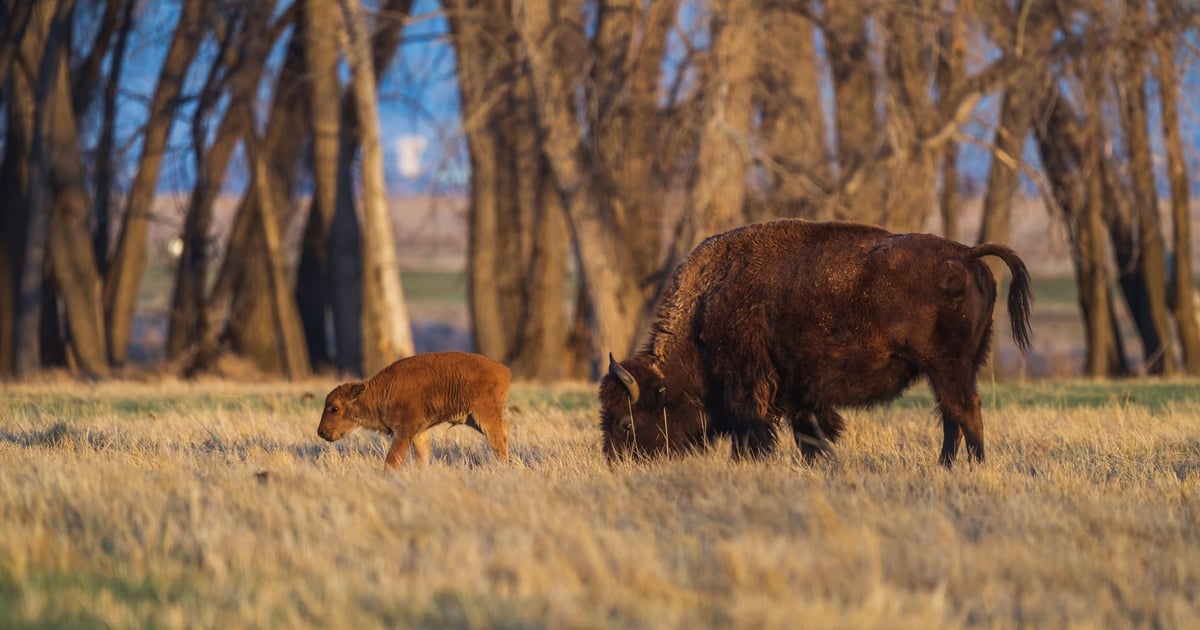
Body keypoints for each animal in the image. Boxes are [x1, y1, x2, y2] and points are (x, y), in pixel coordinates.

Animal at [600, 219, 1032, 467]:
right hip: (949, 369)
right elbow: (807, 430)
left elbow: (753, 428)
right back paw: (945, 466)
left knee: (965, 410)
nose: (616, 463)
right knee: (951, 415)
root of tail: (966, 253)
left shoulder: (748, 384)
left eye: (625, 423)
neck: (707, 303)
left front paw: (748, 463)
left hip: (947, 366)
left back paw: (973, 465)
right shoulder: (798, 390)